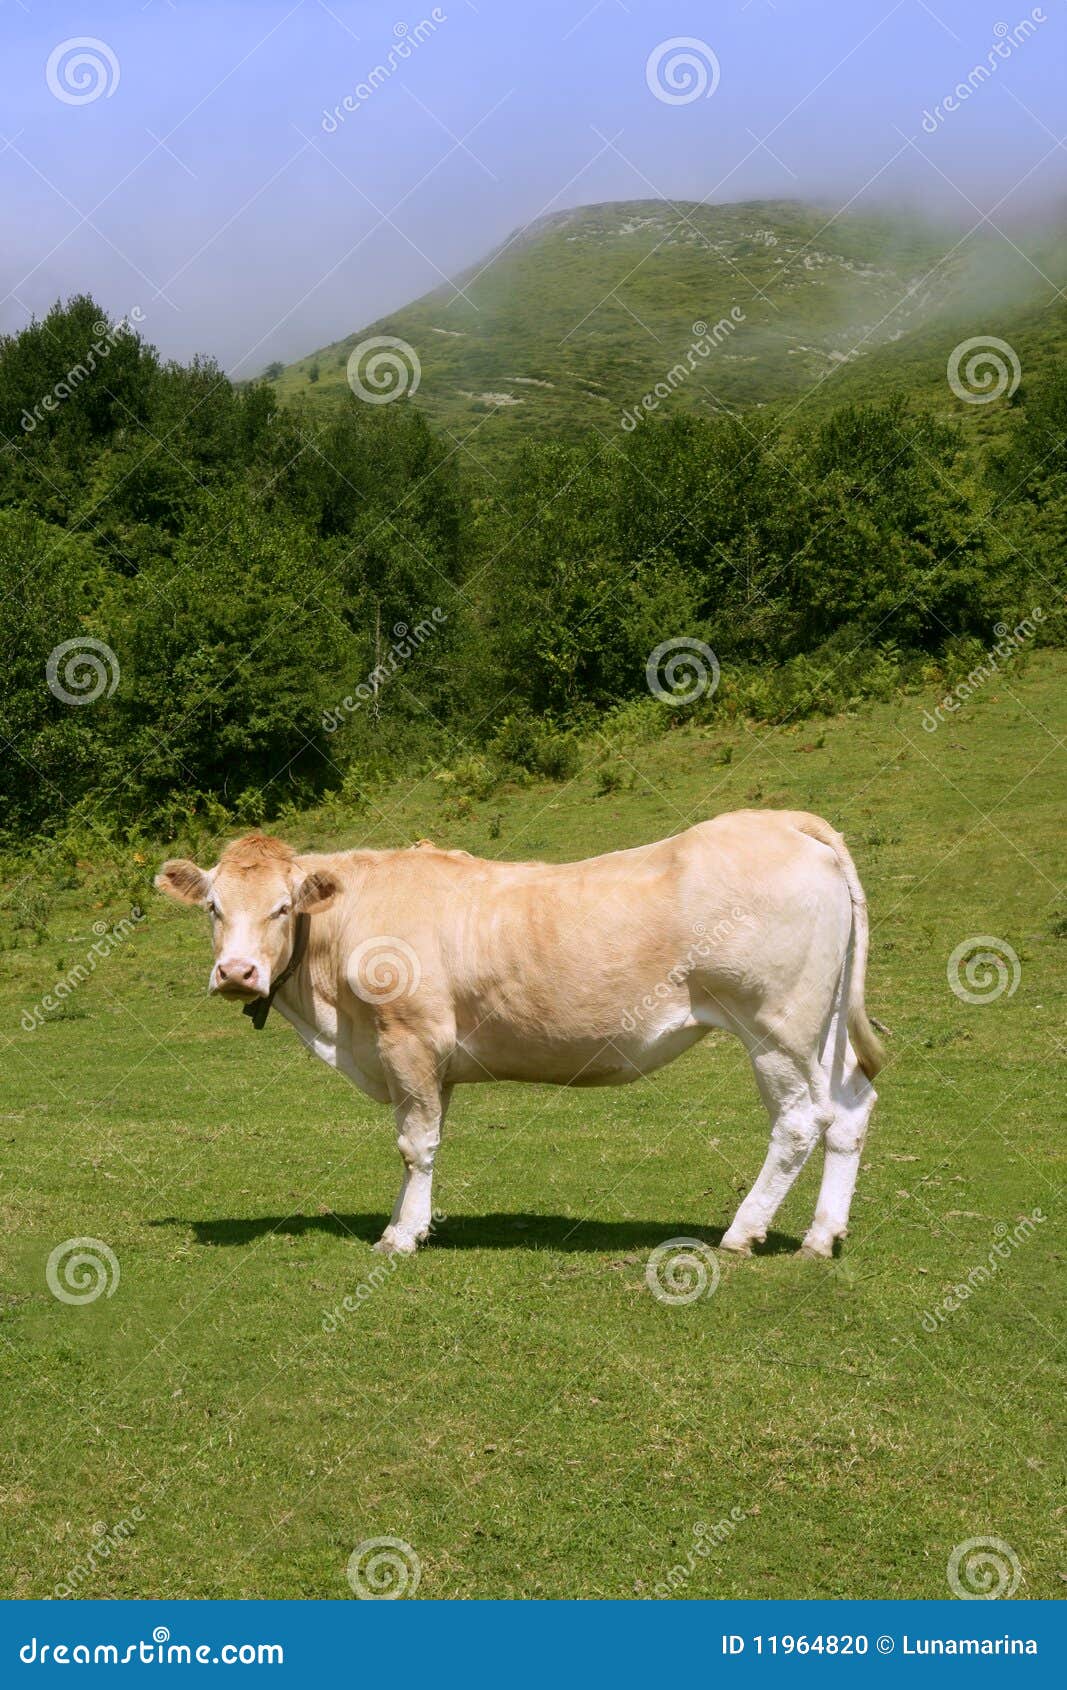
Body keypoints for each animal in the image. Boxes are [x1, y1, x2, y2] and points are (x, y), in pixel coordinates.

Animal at [155, 811, 882, 1259]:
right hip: (818, 1024)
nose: (237, 973)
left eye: (281, 908)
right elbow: (425, 1142)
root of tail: (783, 819)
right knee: (850, 1104)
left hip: (774, 1023)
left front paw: (399, 1236)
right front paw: (413, 1221)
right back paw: (821, 1236)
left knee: (798, 1120)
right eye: (214, 908)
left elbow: (413, 1144)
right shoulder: (429, 1059)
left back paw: (742, 1231)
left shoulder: (407, 1038)